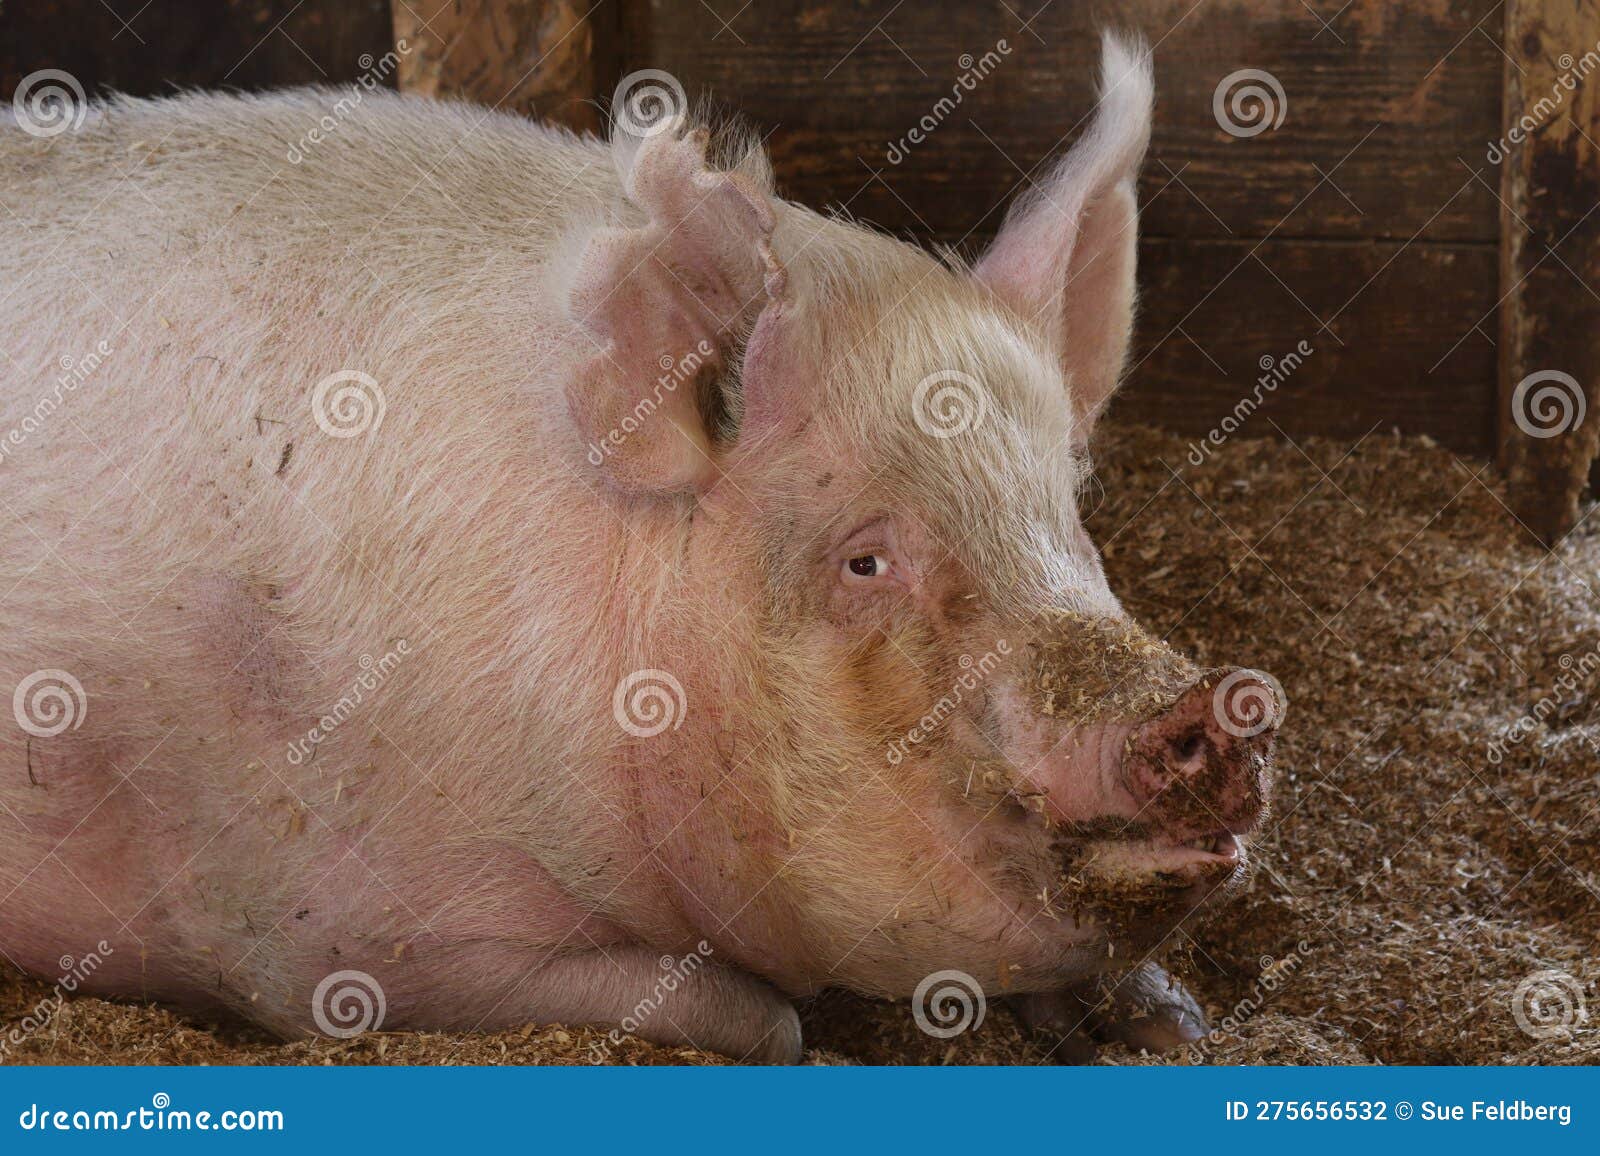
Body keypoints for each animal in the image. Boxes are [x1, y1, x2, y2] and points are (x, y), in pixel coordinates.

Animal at [0, 34, 1279, 1063]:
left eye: (1068, 515)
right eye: (865, 560)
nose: (1214, 703)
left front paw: (1171, 1021)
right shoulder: (329, 929)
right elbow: (762, 1019)